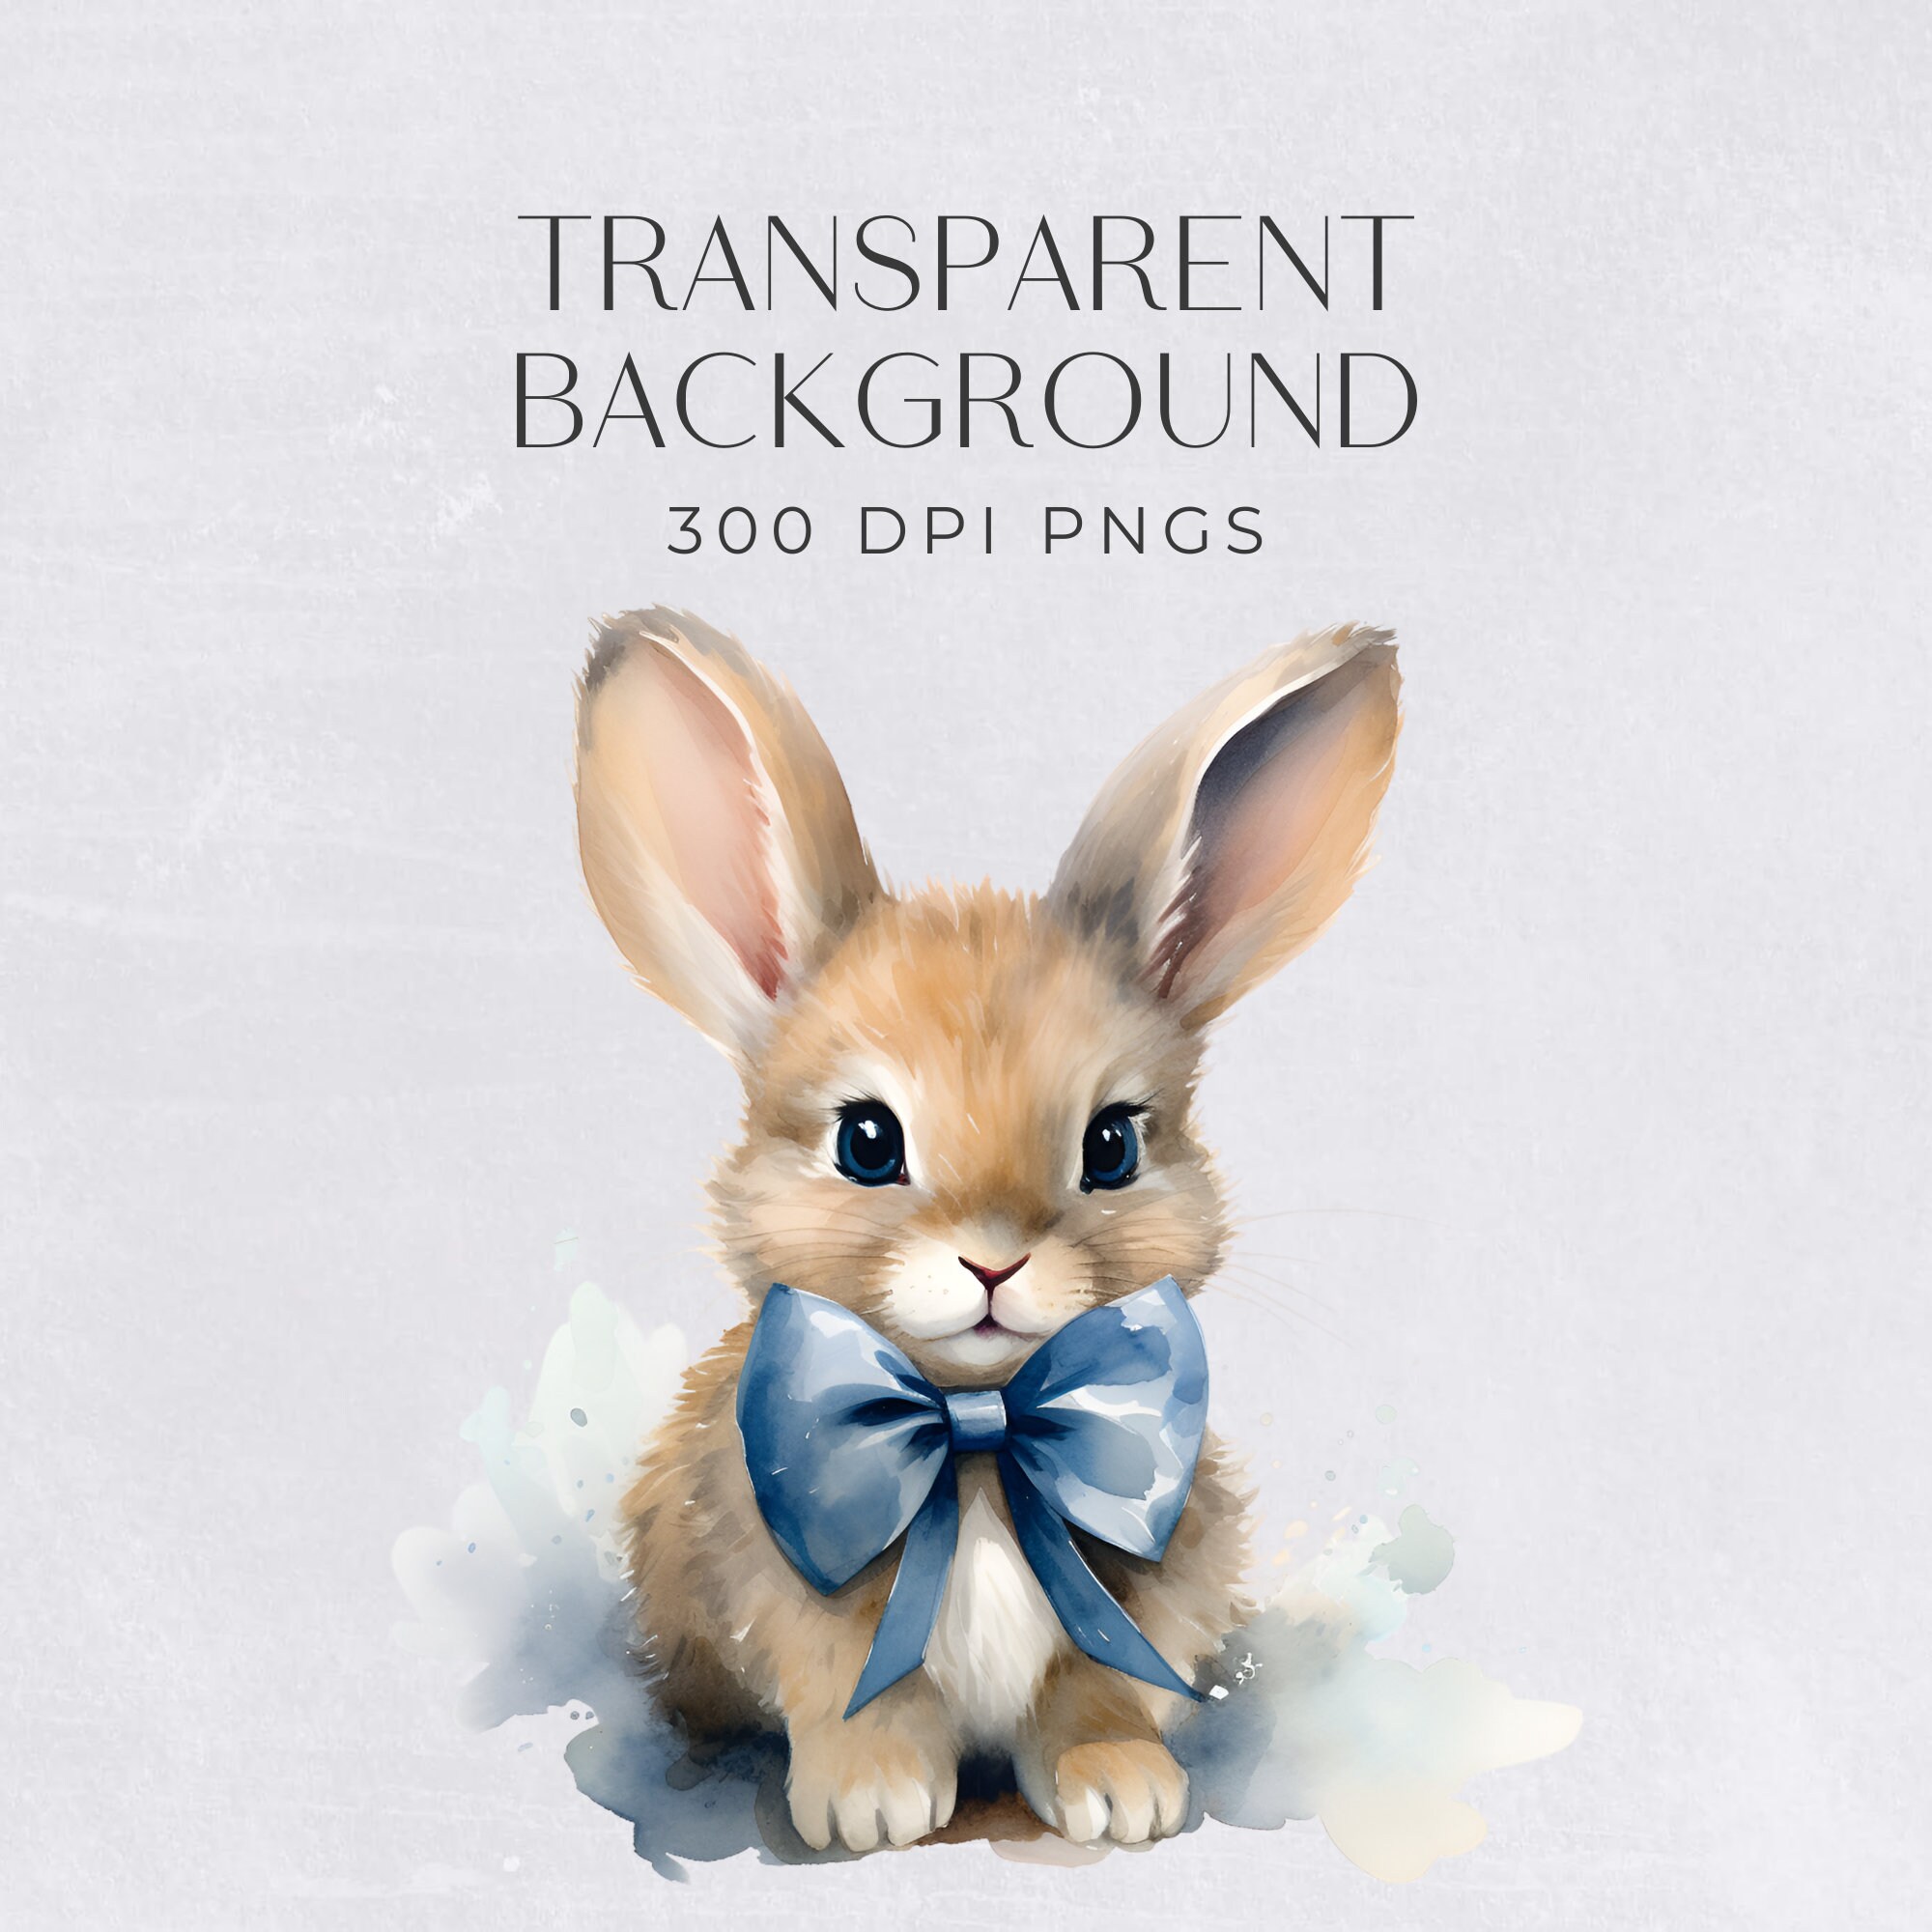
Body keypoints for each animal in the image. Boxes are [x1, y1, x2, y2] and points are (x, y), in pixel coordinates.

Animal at [574, 606, 1400, 1855]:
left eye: (1110, 1144)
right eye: (867, 1140)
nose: (993, 1259)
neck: (976, 1435)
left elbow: (1096, 1692)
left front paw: (1120, 1790)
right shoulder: (790, 1592)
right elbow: (854, 1693)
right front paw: (868, 1802)